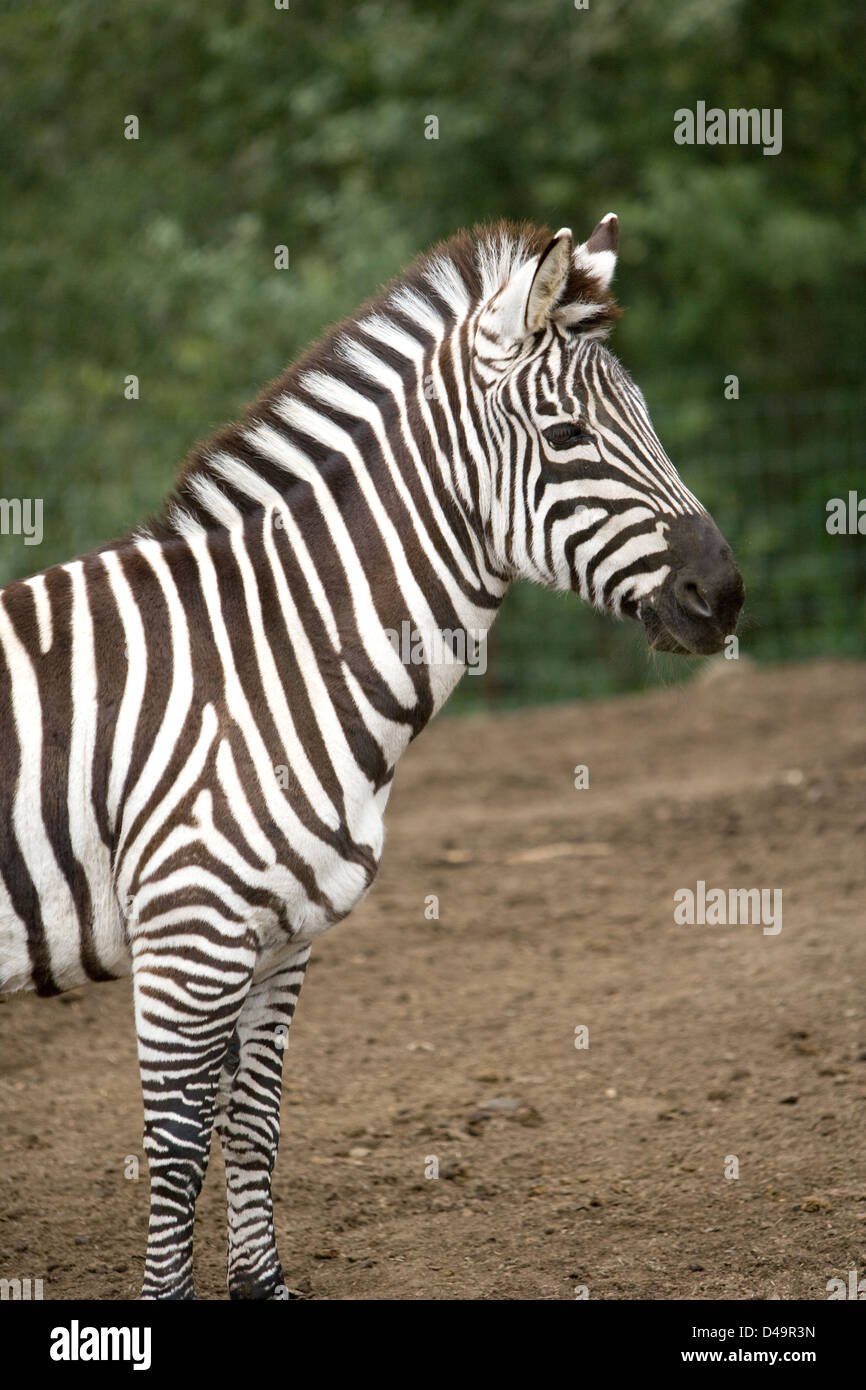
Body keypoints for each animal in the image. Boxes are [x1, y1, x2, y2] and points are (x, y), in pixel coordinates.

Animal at [0, 214, 744, 1299]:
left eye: (646, 422)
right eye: (567, 437)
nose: (721, 597)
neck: (265, 664)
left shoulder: (278, 941)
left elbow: (254, 1127)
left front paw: (262, 1285)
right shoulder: (189, 937)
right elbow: (177, 1150)